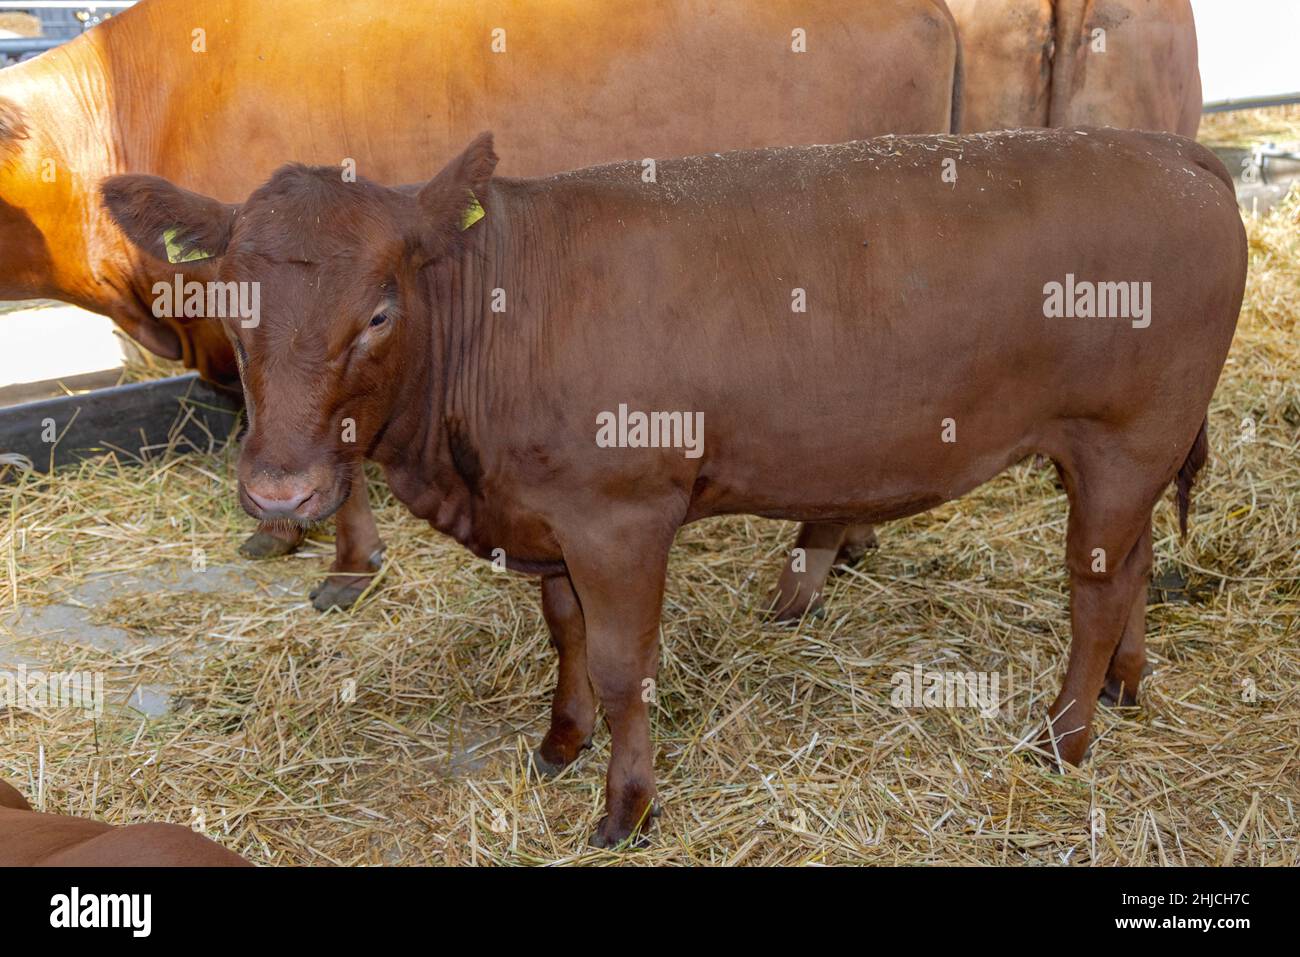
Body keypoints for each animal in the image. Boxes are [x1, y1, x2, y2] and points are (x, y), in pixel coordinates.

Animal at [100, 124, 1246, 847]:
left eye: (379, 312)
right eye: (225, 302)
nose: (281, 496)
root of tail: (1178, 151)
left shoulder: (620, 513)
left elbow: (621, 666)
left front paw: (626, 807)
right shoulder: (550, 516)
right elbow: (564, 634)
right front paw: (556, 744)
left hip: (1124, 437)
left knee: (1094, 588)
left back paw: (1064, 738)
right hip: (1117, 452)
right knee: (1134, 561)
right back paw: (1125, 686)